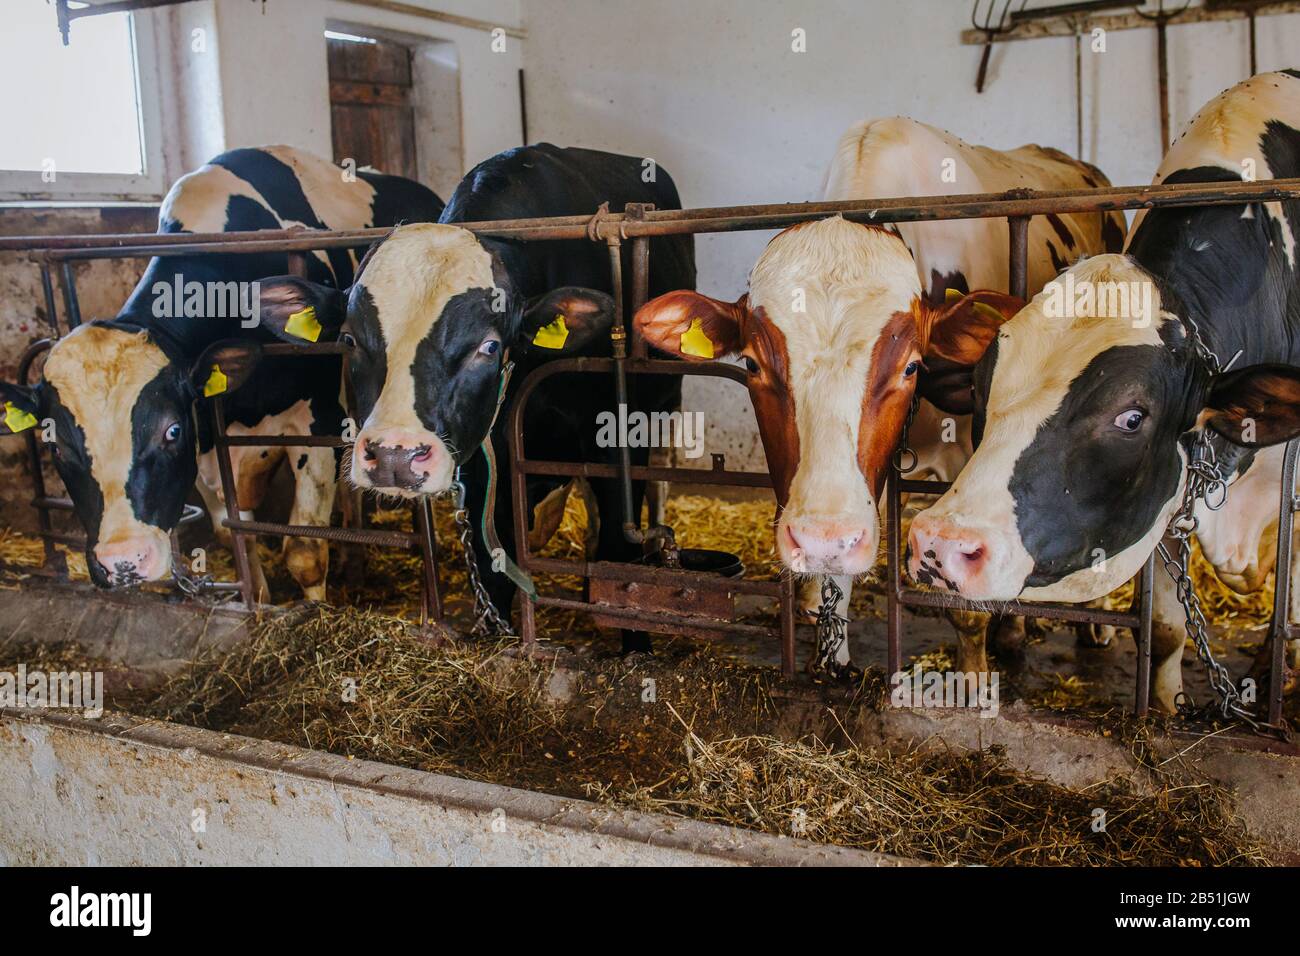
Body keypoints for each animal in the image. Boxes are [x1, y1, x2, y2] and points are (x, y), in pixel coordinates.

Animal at [0, 146, 443, 599]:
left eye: (172, 431)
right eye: (56, 447)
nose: (123, 561)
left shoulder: (317, 419)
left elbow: (305, 551)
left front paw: (318, 606)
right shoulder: (209, 444)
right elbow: (237, 536)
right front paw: (262, 601)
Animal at [245, 144, 695, 648]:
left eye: (489, 346)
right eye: (348, 340)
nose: (394, 457)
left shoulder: (614, 438)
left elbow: (621, 556)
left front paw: (634, 649)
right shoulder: (479, 459)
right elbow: (490, 558)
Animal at [634, 116, 1124, 675]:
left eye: (911, 365)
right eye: (753, 364)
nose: (820, 536)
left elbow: (965, 597)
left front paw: (974, 680)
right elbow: (834, 584)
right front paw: (834, 654)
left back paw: (1091, 625)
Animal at [907, 71, 1300, 713]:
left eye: (1132, 418)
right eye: (981, 388)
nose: (941, 543)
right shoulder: (1173, 492)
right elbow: (1164, 627)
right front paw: (1162, 709)